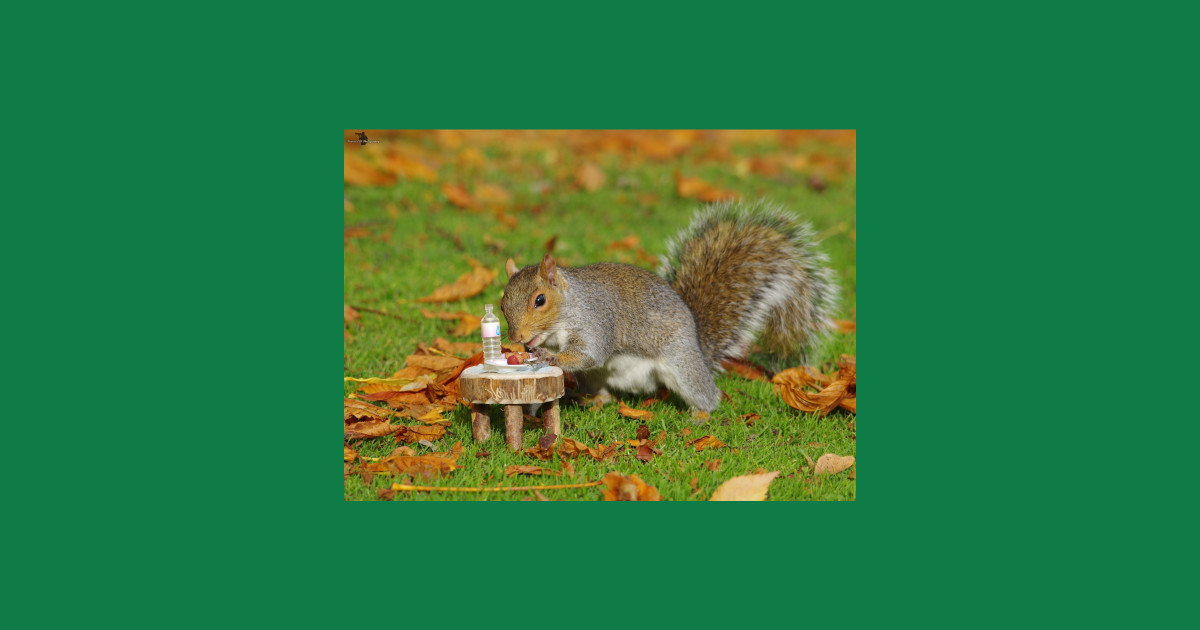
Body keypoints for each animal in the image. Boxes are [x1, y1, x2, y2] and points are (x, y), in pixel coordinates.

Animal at [500, 200, 839, 413]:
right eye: (503, 302)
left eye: (540, 300)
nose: (516, 337)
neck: (568, 308)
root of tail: (699, 346)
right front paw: (530, 351)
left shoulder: (596, 321)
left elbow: (588, 353)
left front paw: (550, 356)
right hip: (596, 378)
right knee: (604, 392)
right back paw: (596, 401)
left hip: (683, 365)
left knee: (707, 394)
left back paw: (700, 414)